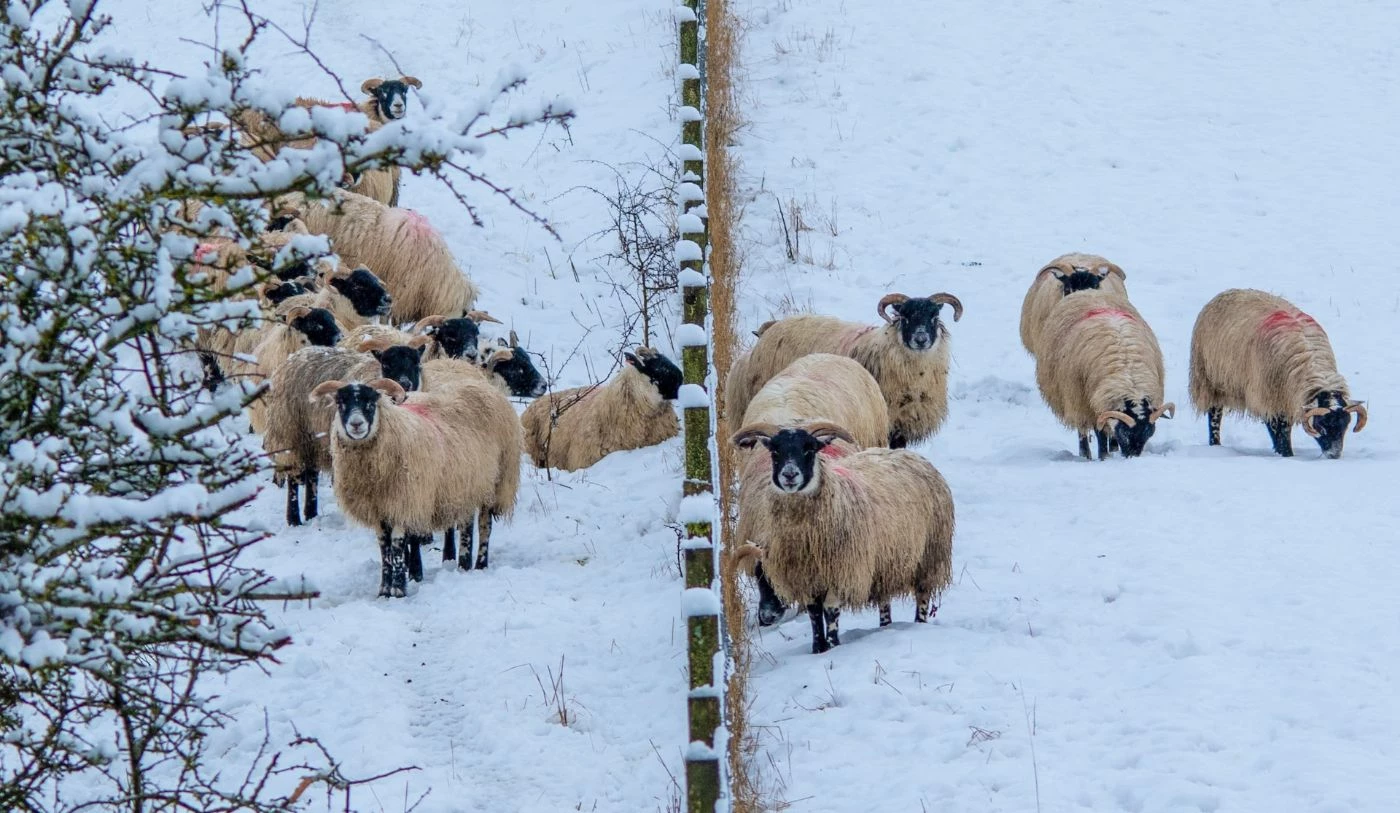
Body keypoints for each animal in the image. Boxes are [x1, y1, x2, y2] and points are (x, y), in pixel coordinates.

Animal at [263, 338, 429, 526]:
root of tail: (295, 355)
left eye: (416, 364)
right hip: (289, 430)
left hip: (313, 439)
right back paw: (294, 519)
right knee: (293, 477)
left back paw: (311, 513)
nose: (405, 384)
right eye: (386, 364)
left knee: (312, 474)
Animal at [310, 375, 520, 597]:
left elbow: (397, 546)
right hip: (465, 485)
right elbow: (384, 548)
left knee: (485, 526)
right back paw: (463, 564)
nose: (356, 424)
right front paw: (385, 589)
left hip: (497, 481)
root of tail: (481, 385)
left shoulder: (404, 501)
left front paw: (399, 589)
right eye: (341, 404)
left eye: (371, 403)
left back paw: (480, 565)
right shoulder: (380, 509)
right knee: (466, 524)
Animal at [729, 420, 955, 654]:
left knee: (923, 595)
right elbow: (814, 613)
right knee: (884, 602)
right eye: (775, 451)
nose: (789, 475)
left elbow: (830, 612)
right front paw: (817, 648)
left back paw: (919, 624)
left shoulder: (840, 570)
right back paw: (885, 628)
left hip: (930, 555)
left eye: (810, 449)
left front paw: (833, 645)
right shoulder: (807, 576)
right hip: (884, 563)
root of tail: (909, 454)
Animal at [1035, 290, 1173, 460]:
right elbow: (1099, 432)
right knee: (1082, 429)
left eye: (1149, 434)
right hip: (1074, 399)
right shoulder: (1087, 404)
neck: (1128, 376)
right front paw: (1103, 456)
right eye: (1125, 433)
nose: (1131, 457)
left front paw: (1111, 450)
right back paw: (1085, 454)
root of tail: (1087, 291)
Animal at [1188, 288, 1367, 458]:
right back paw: (1215, 445)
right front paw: (1285, 454)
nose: (1334, 455)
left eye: (1346, 425)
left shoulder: (1285, 399)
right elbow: (1279, 431)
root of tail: (1226, 292)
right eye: (1321, 425)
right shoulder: (1268, 398)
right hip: (1209, 380)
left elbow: (1284, 429)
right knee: (1214, 415)